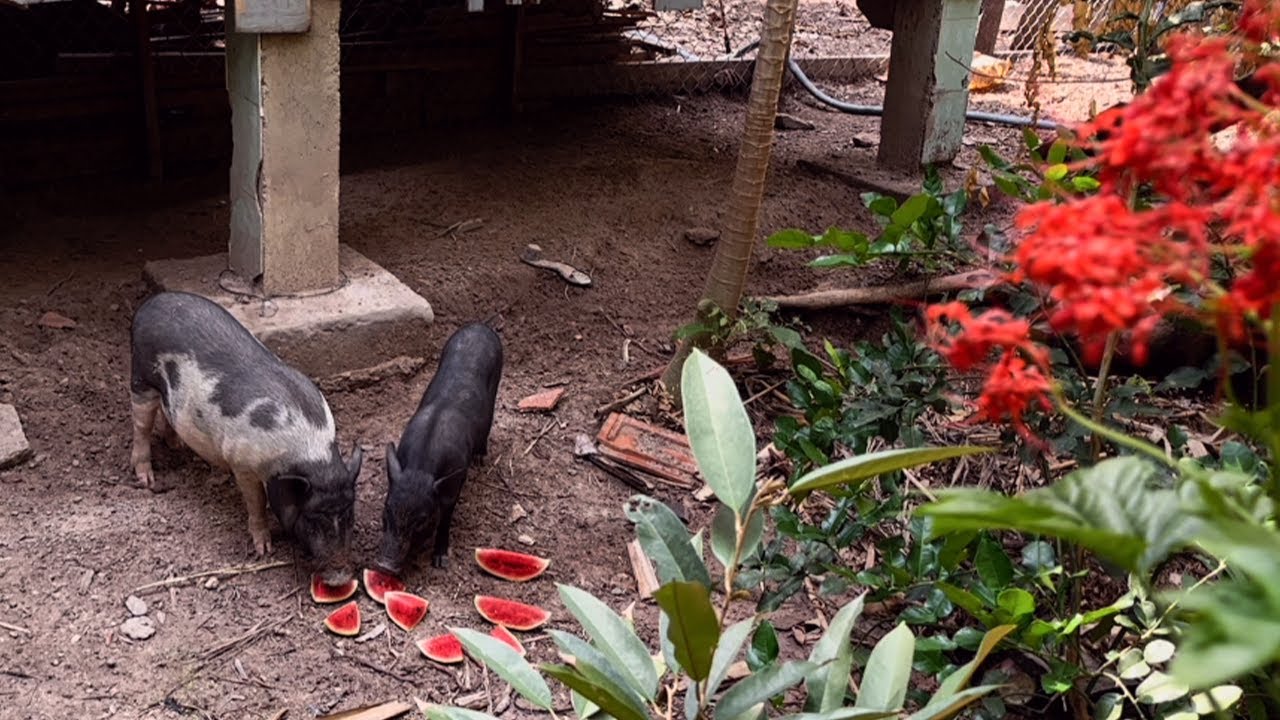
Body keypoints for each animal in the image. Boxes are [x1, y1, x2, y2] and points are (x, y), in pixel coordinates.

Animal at [128, 291, 363, 584]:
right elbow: (257, 502)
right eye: (311, 521)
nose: (341, 578)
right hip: (140, 377)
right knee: (140, 426)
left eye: (349, 515)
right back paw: (146, 478)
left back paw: (177, 445)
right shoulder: (242, 464)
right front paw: (264, 550)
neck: (305, 451)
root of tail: (150, 304)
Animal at [377, 322, 503, 575]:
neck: (421, 469)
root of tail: (481, 325)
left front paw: (440, 561)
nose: (385, 566)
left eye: (421, 520)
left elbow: (445, 519)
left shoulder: (454, 487)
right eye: (387, 510)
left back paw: (481, 458)